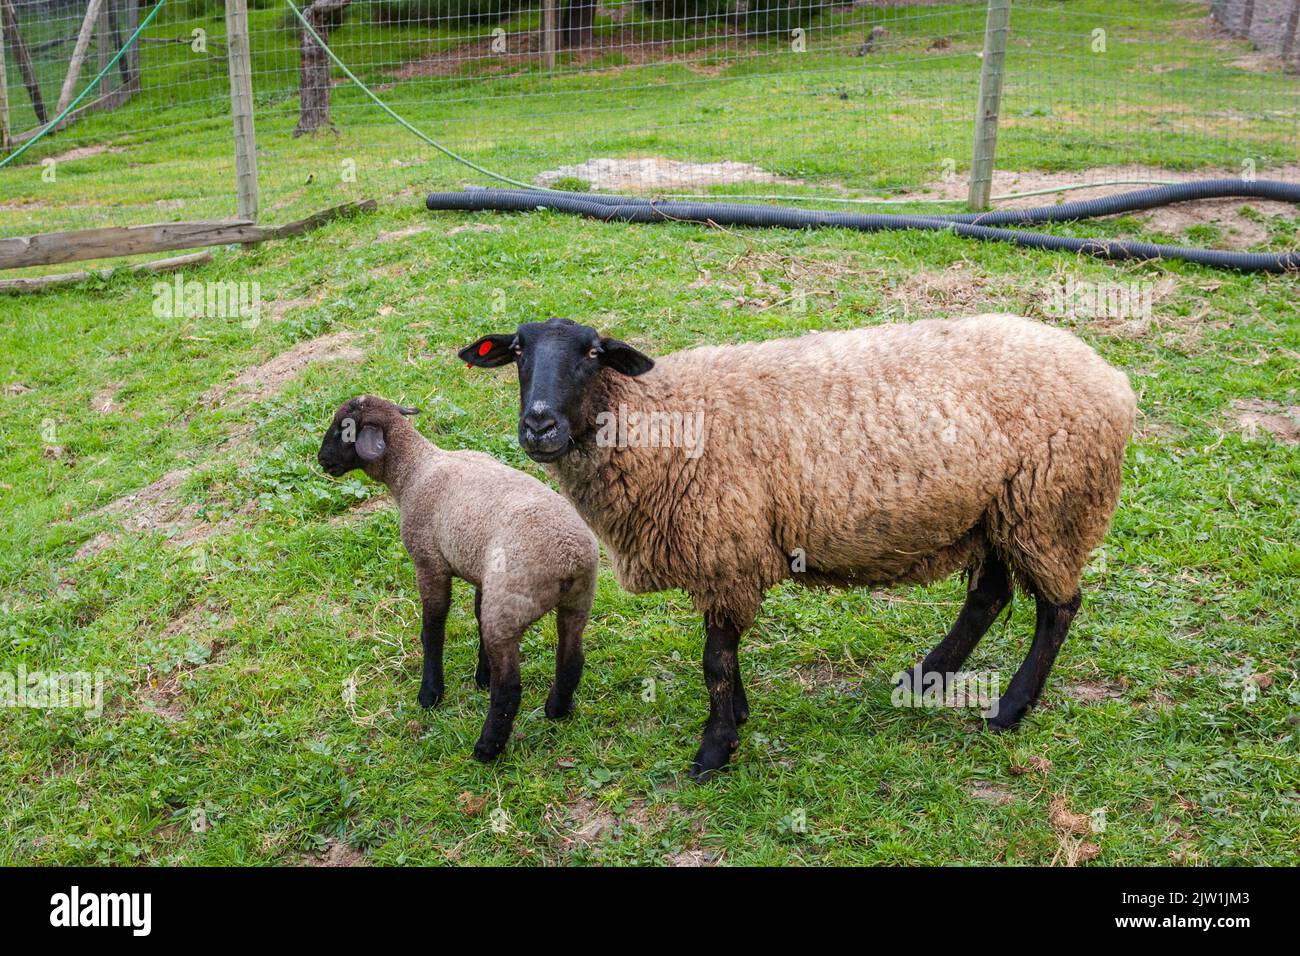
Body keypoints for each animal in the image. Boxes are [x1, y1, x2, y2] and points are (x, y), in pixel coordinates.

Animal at [316, 396, 599, 762]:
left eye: (343, 428)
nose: (322, 460)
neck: (414, 469)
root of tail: (570, 559)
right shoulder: (481, 573)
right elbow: (475, 615)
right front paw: (481, 675)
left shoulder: (429, 563)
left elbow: (432, 629)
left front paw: (430, 694)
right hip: (576, 600)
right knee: (572, 658)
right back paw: (557, 710)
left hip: (507, 609)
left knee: (510, 687)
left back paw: (487, 748)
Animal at [458, 314, 1136, 780]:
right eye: (517, 351)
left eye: (594, 353)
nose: (539, 425)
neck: (659, 420)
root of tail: (1111, 376)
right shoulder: (728, 556)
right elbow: (725, 657)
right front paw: (738, 717)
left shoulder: (727, 550)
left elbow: (714, 661)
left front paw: (714, 749)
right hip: (994, 514)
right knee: (989, 597)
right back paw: (926, 677)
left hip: (1049, 507)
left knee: (1058, 608)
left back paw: (1010, 708)